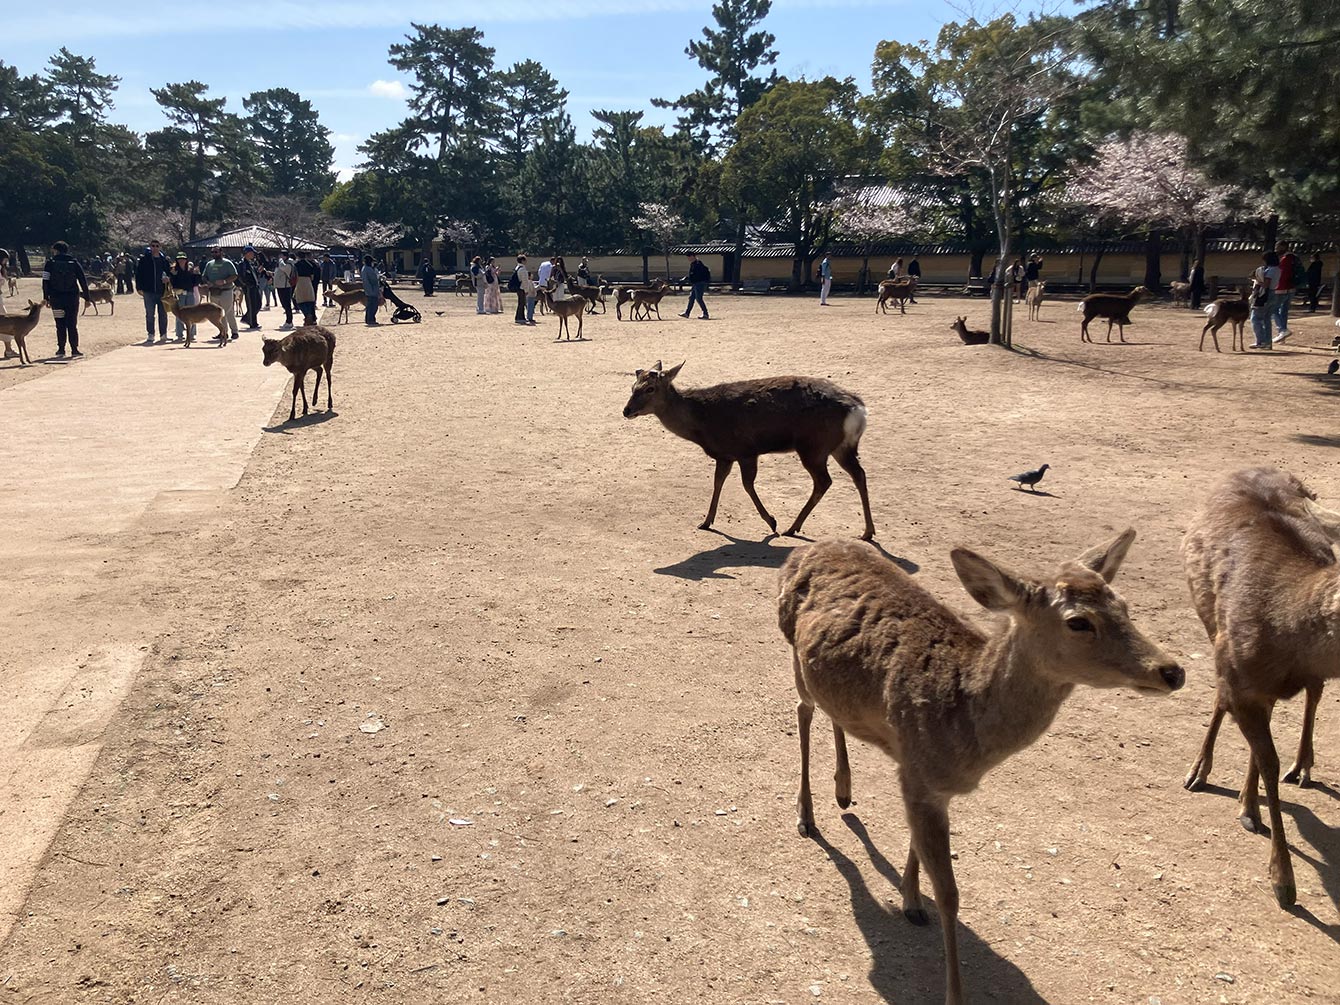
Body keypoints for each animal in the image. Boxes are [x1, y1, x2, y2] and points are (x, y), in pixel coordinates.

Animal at [622, 360, 876, 540]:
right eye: (633, 386)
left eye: (650, 388)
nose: (626, 410)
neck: (702, 423)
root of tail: (859, 410)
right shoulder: (725, 454)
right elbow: (718, 482)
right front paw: (706, 521)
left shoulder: (745, 450)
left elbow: (747, 485)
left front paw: (772, 522)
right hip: (841, 447)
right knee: (859, 474)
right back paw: (867, 532)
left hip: (813, 446)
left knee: (824, 481)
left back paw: (792, 527)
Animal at [779, 530, 1182, 1005]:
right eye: (1078, 621)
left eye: (1125, 605)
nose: (1172, 671)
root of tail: (805, 548)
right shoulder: (920, 776)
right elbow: (950, 894)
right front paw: (953, 992)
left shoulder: (923, 778)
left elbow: (918, 850)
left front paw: (911, 900)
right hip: (792, 648)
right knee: (803, 710)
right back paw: (807, 816)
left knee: (832, 711)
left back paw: (844, 790)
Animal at [1181, 468, 1340, 910]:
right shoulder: (1237, 670)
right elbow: (1265, 756)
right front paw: (1283, 881)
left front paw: (1251, 806)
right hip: (1213, 627)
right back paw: (1200, 772)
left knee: (1314, 695)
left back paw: (1300, 767)